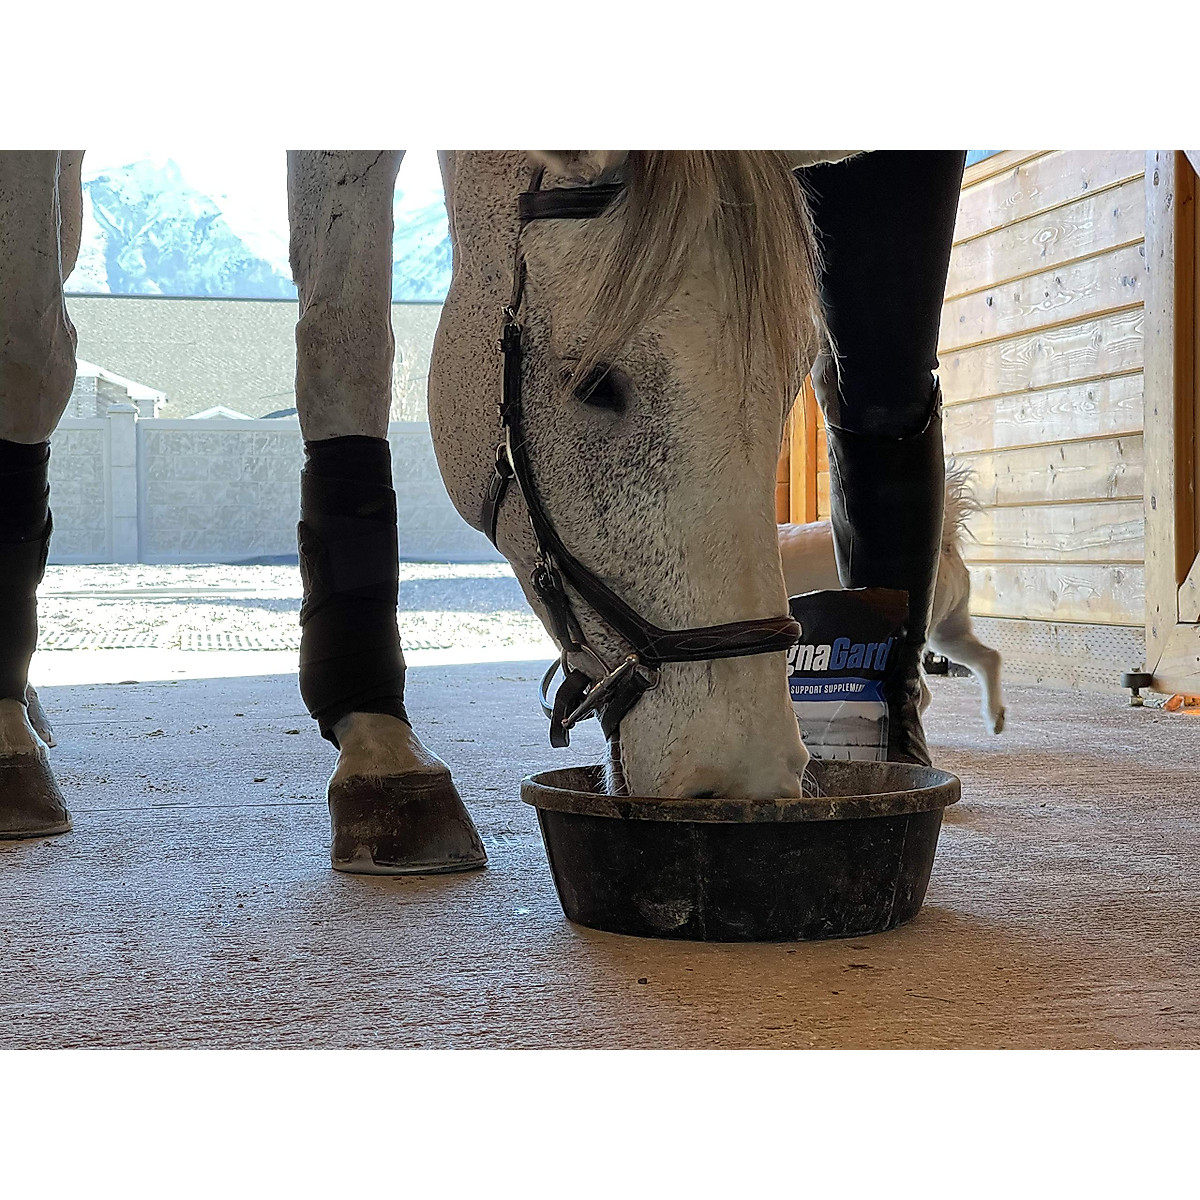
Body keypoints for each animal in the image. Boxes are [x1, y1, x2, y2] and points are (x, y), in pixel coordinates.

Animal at [1, 149, 840, 867]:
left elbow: (346, 353)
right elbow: (30, 353)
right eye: (599, 384)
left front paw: (380, 749)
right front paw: (8, 748)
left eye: (791, 383)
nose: (744, 767)